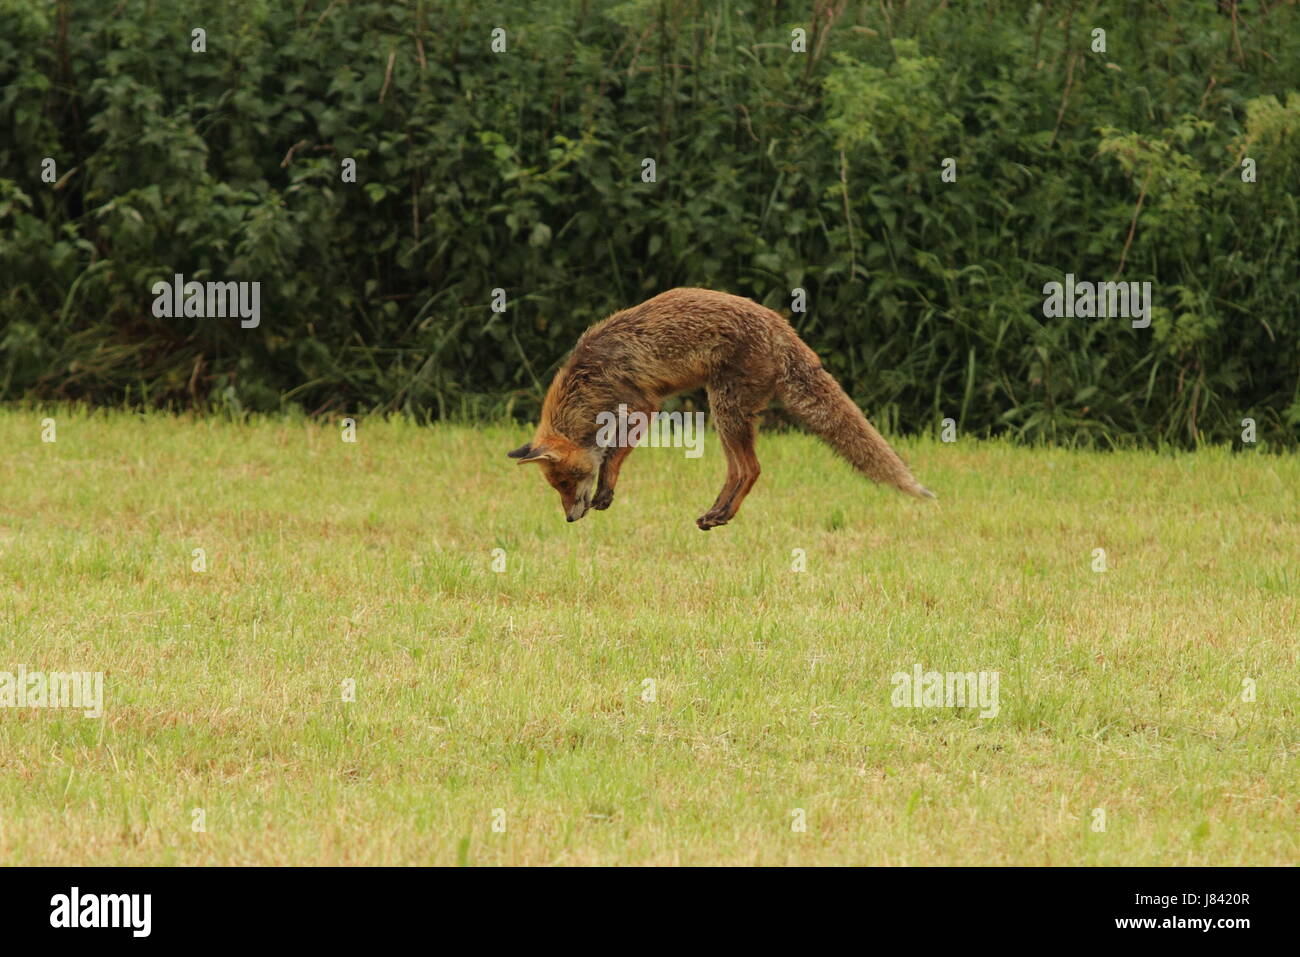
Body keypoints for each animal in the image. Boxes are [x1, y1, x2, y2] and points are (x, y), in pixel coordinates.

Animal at [507, 287, 935, 529]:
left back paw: (722, 515)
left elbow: (613, 453)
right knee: (738, 470)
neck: (588, 377)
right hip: (723, 413)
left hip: (725, 407)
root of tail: (780, 325)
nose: (568, 519)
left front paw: (606, 491)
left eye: (565, 484)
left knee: (752, 468)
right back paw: (716, 515)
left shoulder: (645, 404)